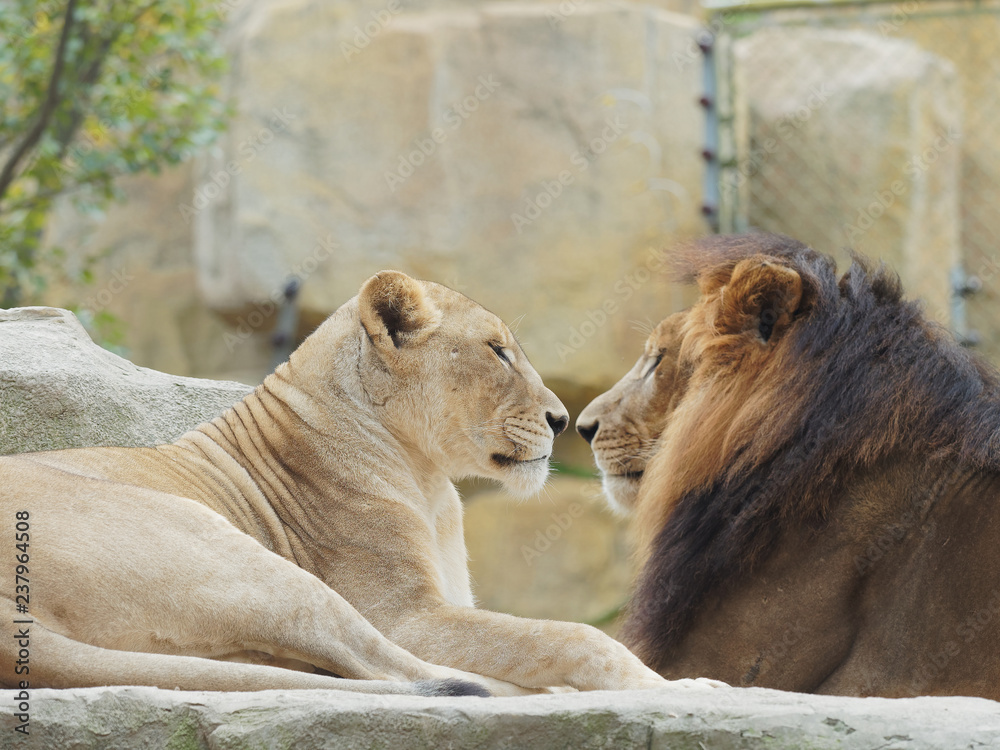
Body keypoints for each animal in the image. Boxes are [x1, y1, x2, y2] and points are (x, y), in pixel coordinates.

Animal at [1, 270, 676, 697]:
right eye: (497, 350)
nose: (564, 420)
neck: (430, 482)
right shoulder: (406, 613)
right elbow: (567, 636)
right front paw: (658, 685)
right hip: (242, 560)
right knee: (394, 669)